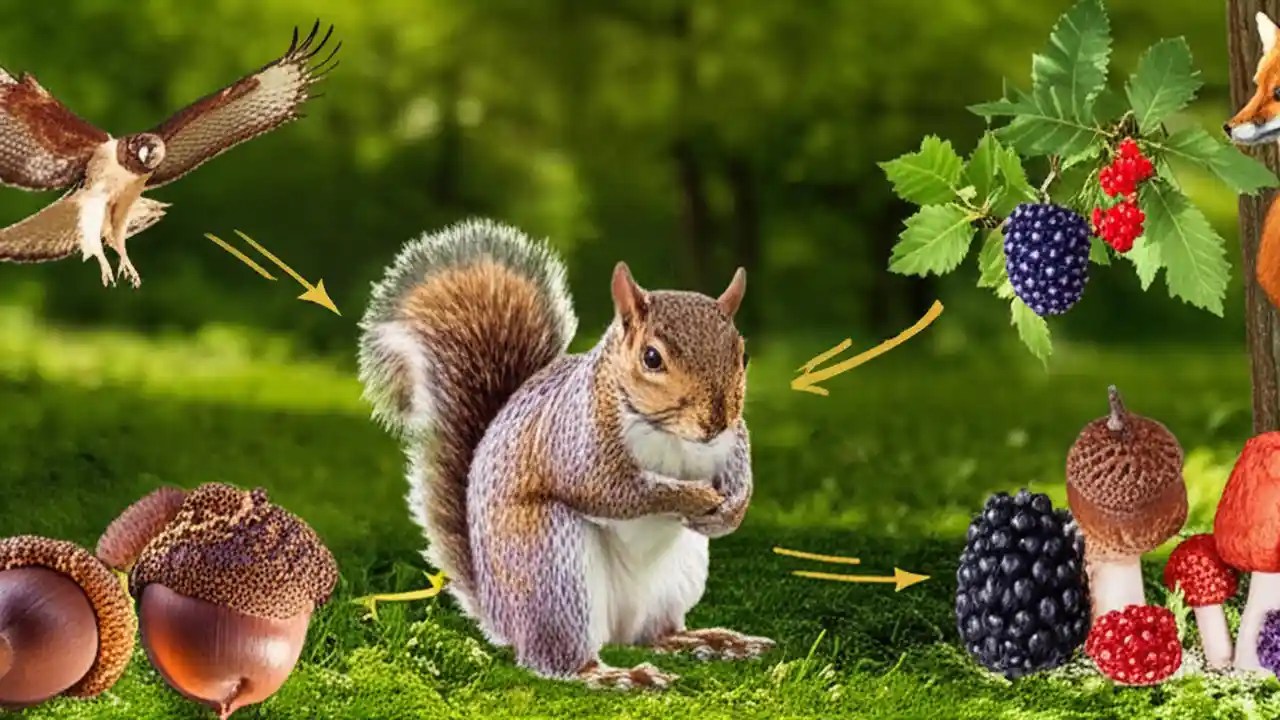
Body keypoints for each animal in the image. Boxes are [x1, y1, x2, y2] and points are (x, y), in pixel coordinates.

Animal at [357, 218, 775, 689]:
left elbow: (740, 468)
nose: (715, 421)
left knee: (654, 634)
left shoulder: (734, 438)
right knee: (557, 658)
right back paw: (614, 676)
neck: (669, 433)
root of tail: (500, 615)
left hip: (675, 576)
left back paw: (710, 641)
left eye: (743, 355)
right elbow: (613, 490)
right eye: (651, 358)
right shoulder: (575, 437)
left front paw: (733, 508)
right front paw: (693, 497)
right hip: (553, 572)